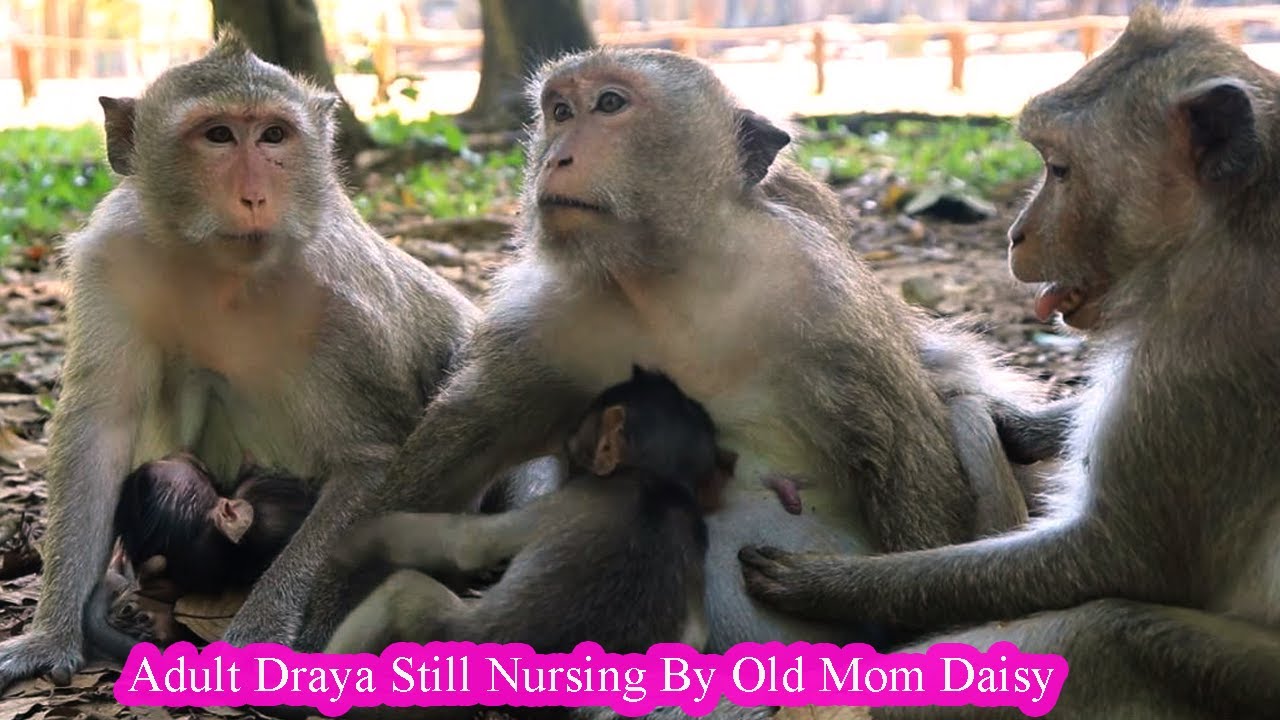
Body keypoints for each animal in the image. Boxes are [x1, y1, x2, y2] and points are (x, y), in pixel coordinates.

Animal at [0, 31, 484, 689]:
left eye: (273, 136)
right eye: (219, 135)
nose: (254, 196)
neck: (225, 268)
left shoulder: (345, 301)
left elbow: (373, 462)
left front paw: (256, 638)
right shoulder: (113, 258)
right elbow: (101, 426)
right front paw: (49, 635)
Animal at [309, 46, 1051, 665]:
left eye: (610, 104)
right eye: (559, 112)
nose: (555, 158)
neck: (668, 280)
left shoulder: (822, 296)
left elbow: (907, 464)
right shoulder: (541, 319)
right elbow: (442, 470)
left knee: (965, 414)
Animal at [738, 6, 1280, 718]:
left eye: (1060, 168)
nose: (1016, 234)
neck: (1224, 228)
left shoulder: (1201, 359)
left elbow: (1121, 560)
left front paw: (830, 584)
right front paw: (1013, 424)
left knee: (1111, 633)